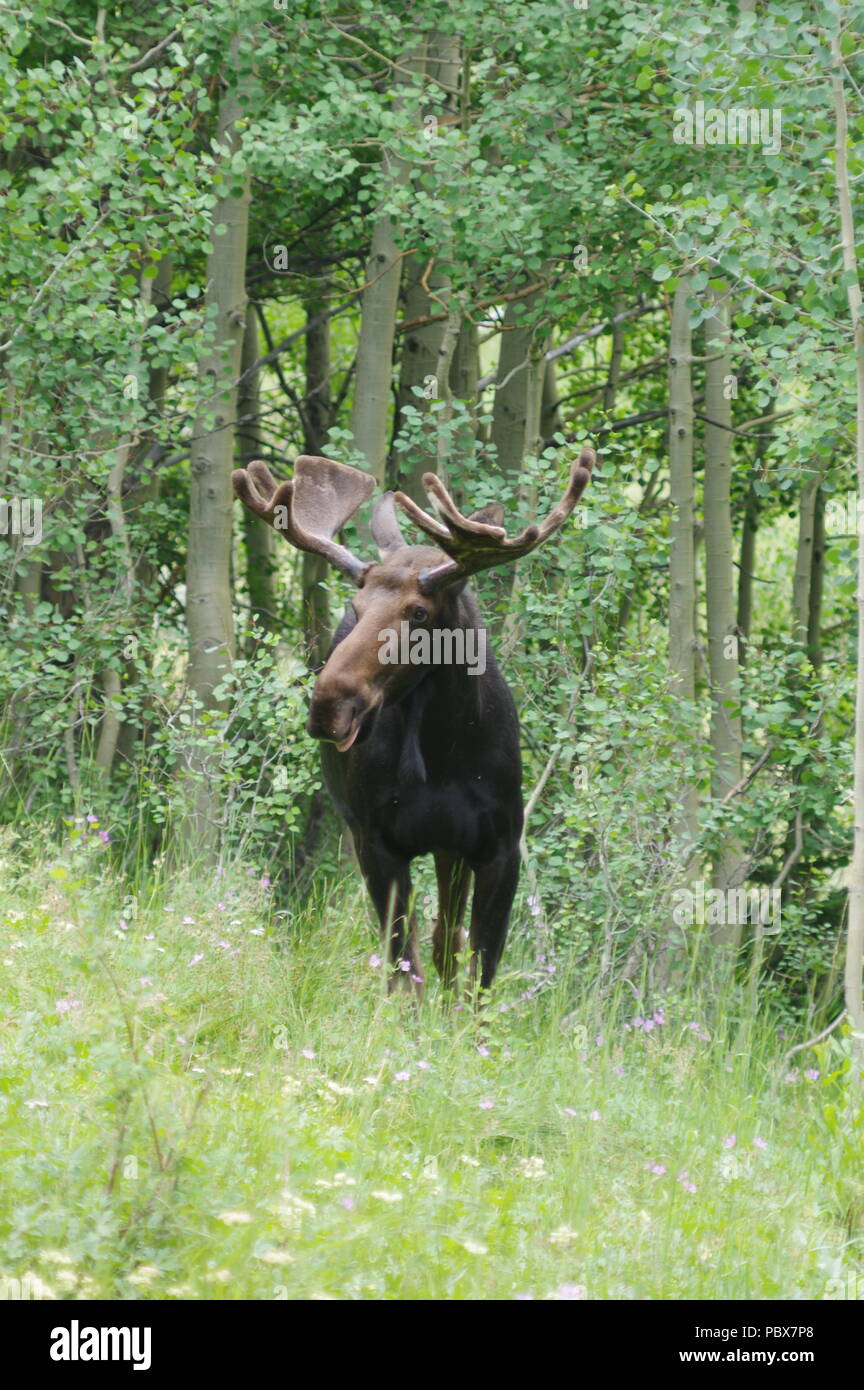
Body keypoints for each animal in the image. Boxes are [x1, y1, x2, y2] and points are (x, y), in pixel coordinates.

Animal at [232, 449, 594, 998]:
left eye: (419, 612)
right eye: (355, 606)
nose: (328, 707)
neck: (443, 750)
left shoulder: (499, 846)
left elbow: (478, 973)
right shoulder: (376, 843)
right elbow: (406, 971)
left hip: (452, 850)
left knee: (449, 935)